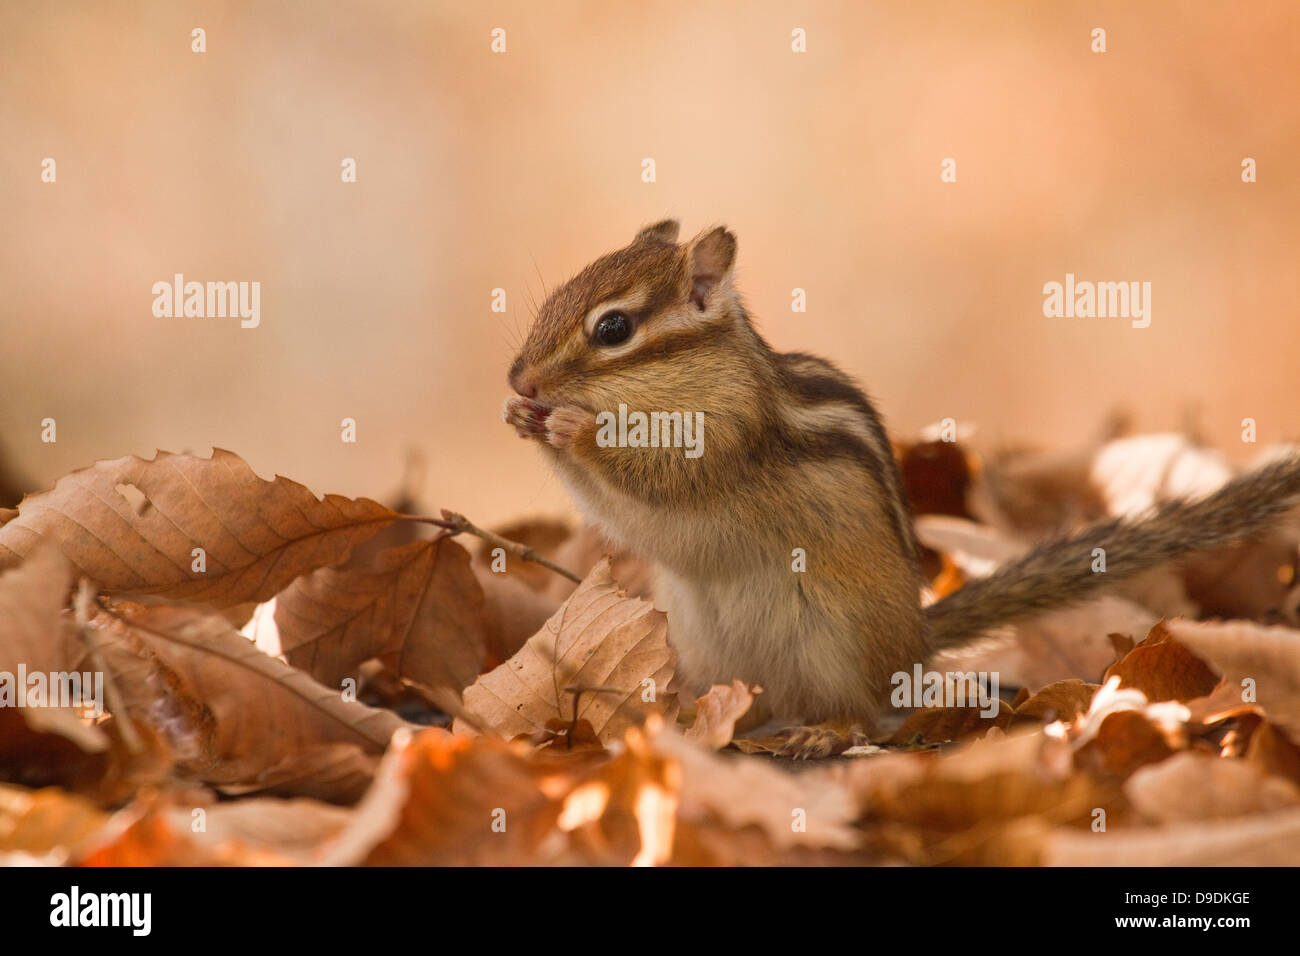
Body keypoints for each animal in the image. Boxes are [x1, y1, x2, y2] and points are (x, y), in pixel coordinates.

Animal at [503, 219, 1300, 746]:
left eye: (613, 329)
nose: (518, 377)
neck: (688, 380)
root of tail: (912, 645)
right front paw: (521, 418)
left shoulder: (724, 442)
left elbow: (654, 479)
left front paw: (574, 431)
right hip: (703, 642)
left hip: (837, 633)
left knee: (860, 706)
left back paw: (827, 731)